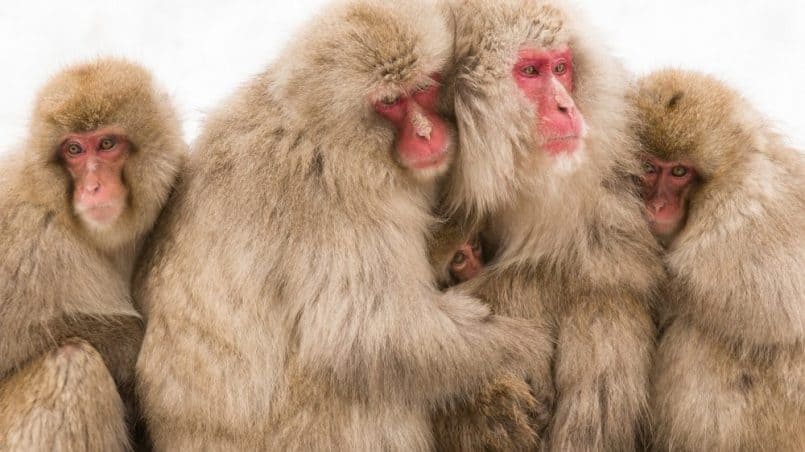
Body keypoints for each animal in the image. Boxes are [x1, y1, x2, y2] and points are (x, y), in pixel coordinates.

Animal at [0, 58, 186, 451]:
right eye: (74, 150)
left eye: (106, 143)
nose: (93, 186)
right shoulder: (21, 233)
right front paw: (128, 342)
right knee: (71, 363)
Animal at [134, 1, 550, 450]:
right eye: (390, 101)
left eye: (423, 87)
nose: (426, 133)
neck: (331, 134)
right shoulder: (334, 198)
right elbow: (372, 332)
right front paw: (529, 347)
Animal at [632, 69, 805, 451]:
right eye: (650, 168)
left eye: (679, 172)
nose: (658, 205)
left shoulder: (741, 211)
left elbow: (779, 303)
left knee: (700, 333)